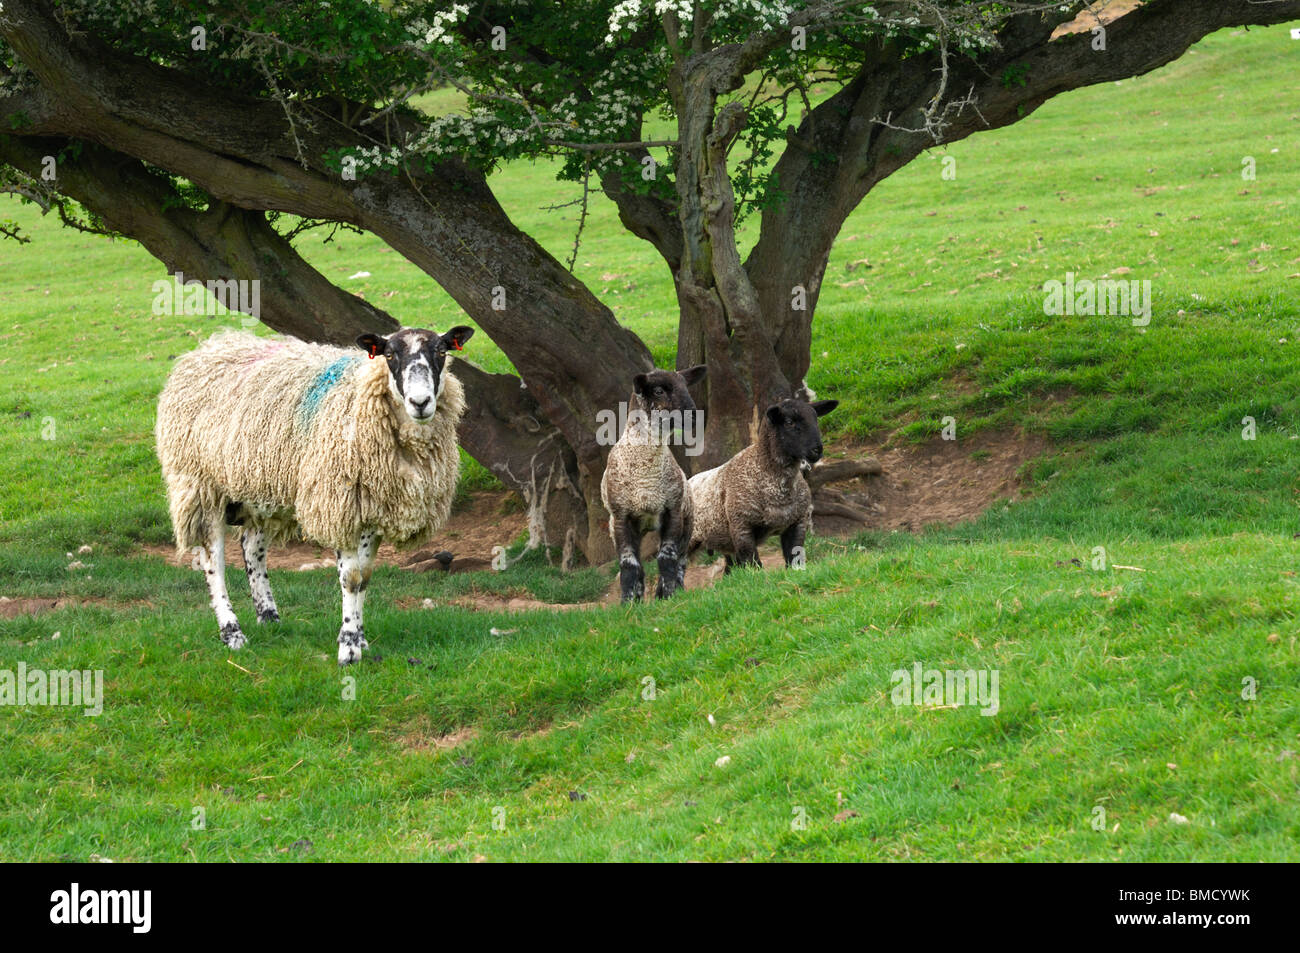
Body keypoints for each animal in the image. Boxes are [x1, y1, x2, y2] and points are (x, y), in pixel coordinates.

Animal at [155, 325, 473, 664]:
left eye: (442, 351)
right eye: (389, 355)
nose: (420, 402)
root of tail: (208, 348)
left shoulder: (372, 508)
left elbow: (365, 577)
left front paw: (361, 639)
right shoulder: (337, 504)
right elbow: (351, 578)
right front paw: (348, 647)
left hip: (261, 489)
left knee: (252, 548)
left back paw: (268, 615)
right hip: (200, 483)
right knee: (213, 560)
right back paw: (232, 632)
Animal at [599, 365, 707, 602]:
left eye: (686, 386)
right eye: (658, 391)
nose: (695, 416)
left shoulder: (673, 511)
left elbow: (667, 559)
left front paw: (668, 596)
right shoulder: (621, 517)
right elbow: (629, 565)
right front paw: (628, 602)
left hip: (688, 522)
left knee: (681, 560)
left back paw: (676, 589)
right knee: (639, 566)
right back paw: (639, 597)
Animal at [688, 397, 838, 571]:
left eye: (816, 418)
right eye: (789, 422)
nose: (817, 450)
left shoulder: (797, 524)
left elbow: (794, 561)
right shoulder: (742, 528)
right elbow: (754, 566)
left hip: (727, 546)